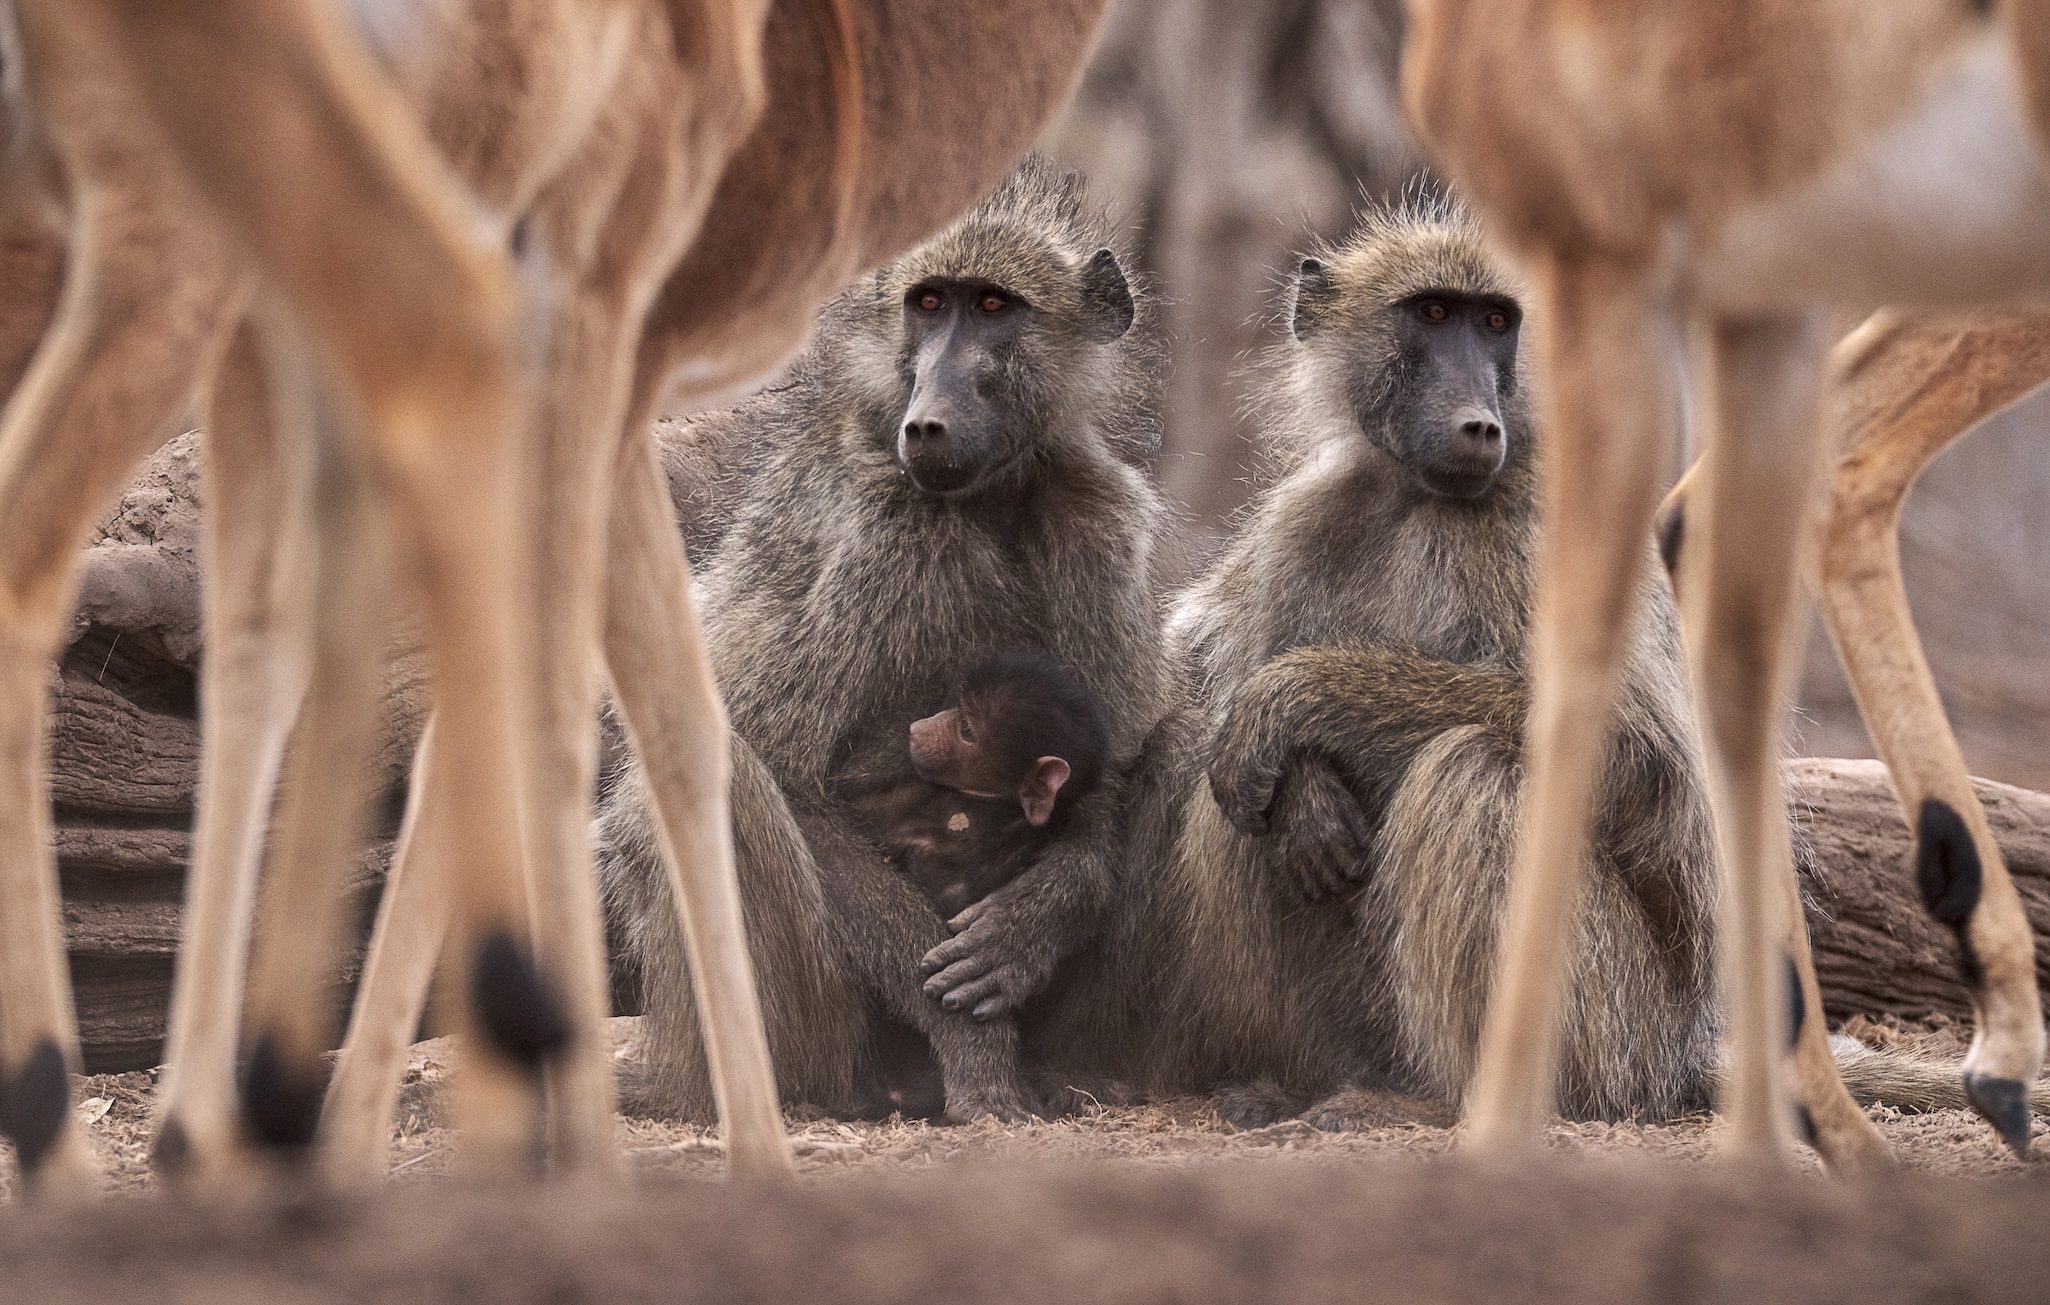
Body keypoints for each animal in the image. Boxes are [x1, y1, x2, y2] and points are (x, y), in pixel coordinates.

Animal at [1056, 198, 1722, 1127]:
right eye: (1434, 315)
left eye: (1496, 322)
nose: (1479, 423)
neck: (1422, 496)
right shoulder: (1314, 516)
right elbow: (1195, 667)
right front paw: (1300, 783)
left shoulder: (1537, 524)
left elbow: (1634, 744)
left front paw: (1292, 695)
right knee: (1232, 793)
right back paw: (1304, 1080)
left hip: (1628, 1034)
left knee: (1471, 774)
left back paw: (1456, 1102)